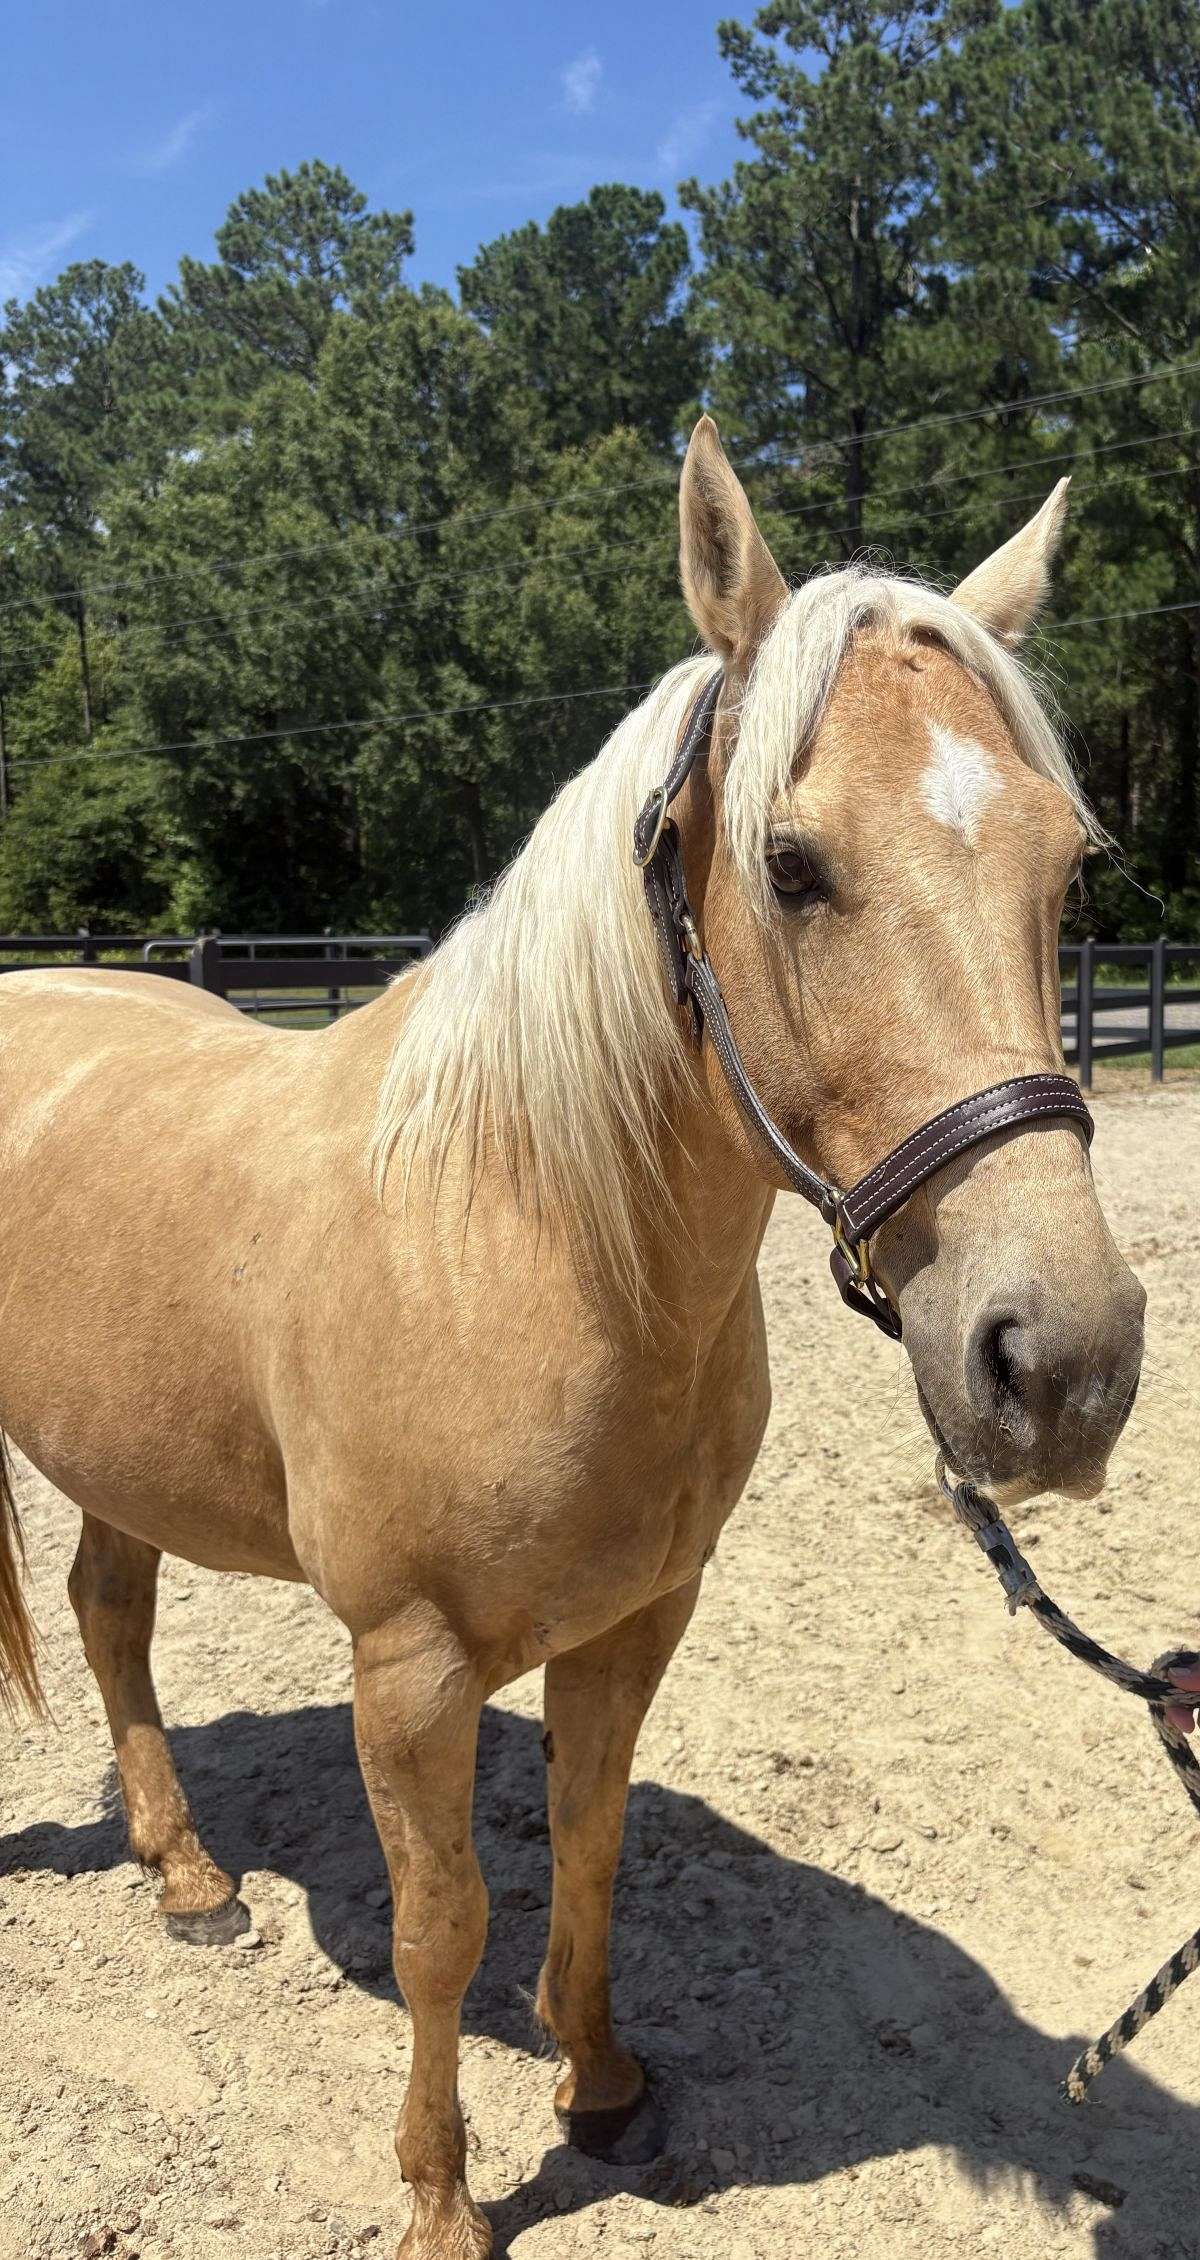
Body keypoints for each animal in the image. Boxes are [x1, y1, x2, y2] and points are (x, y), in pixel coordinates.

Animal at [0, 416, 1145, 2259]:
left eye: (1068, 869)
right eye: (791, 866)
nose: (1062, 1366)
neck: (524, 1240)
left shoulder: (637, 1618)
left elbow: (592, 1856)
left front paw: (599, 2090)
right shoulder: (406, 1668)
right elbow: (440, 1933)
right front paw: (440, 2201)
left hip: (129, 1453)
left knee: (112, 1613)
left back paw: (188, 1882)